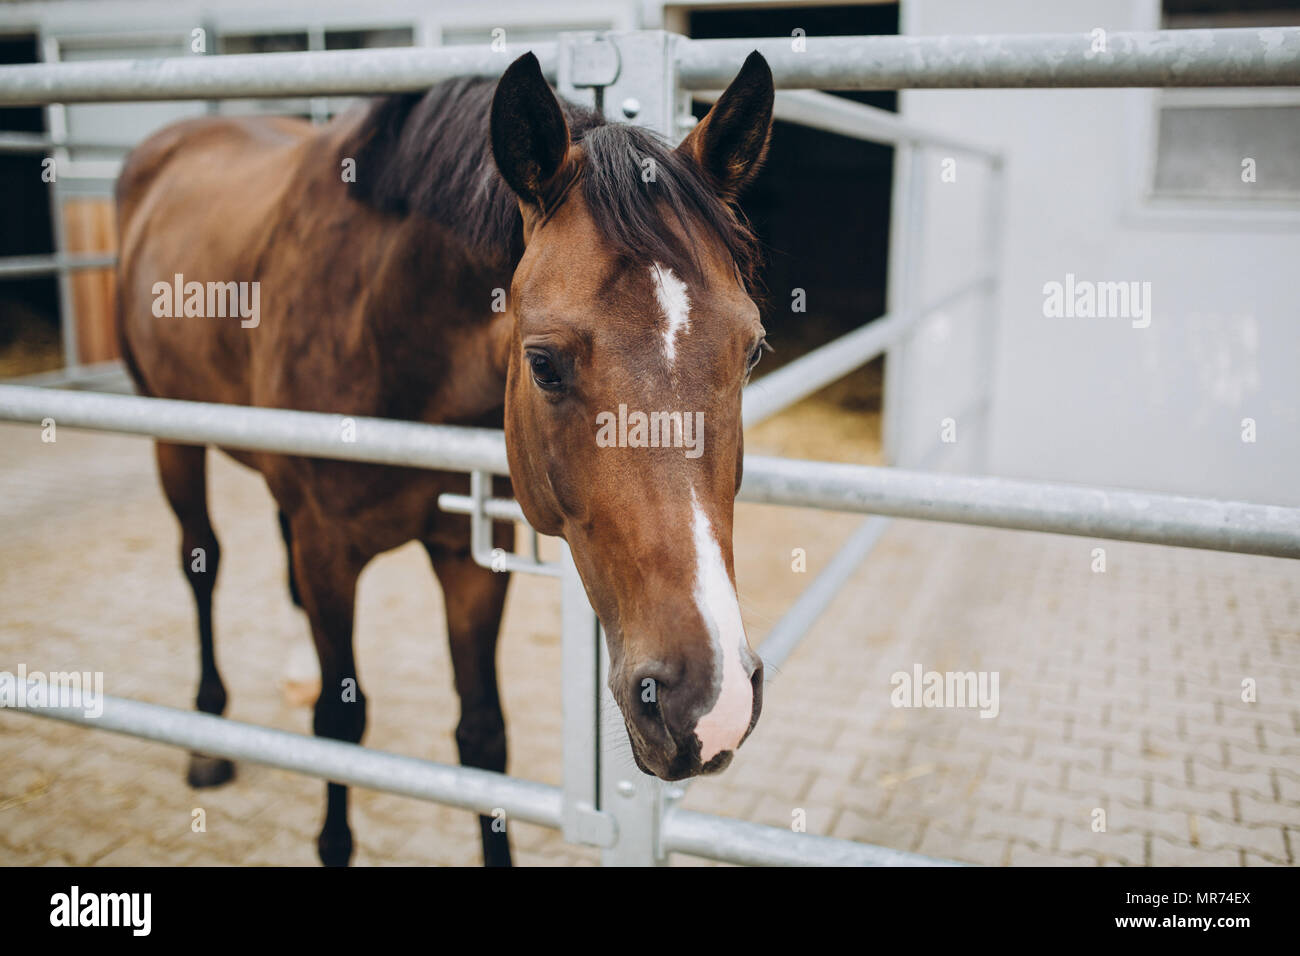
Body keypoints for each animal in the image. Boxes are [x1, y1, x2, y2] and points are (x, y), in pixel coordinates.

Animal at [114, 49, 775, 866]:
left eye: (751, 352)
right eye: (543, 363)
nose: (707, 703)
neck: (379, 326)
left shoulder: (467, 558)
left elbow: (482, 735)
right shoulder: (329, 554)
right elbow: (341, 728)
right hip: (173, 438)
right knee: (200, 560)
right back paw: (208, 733)